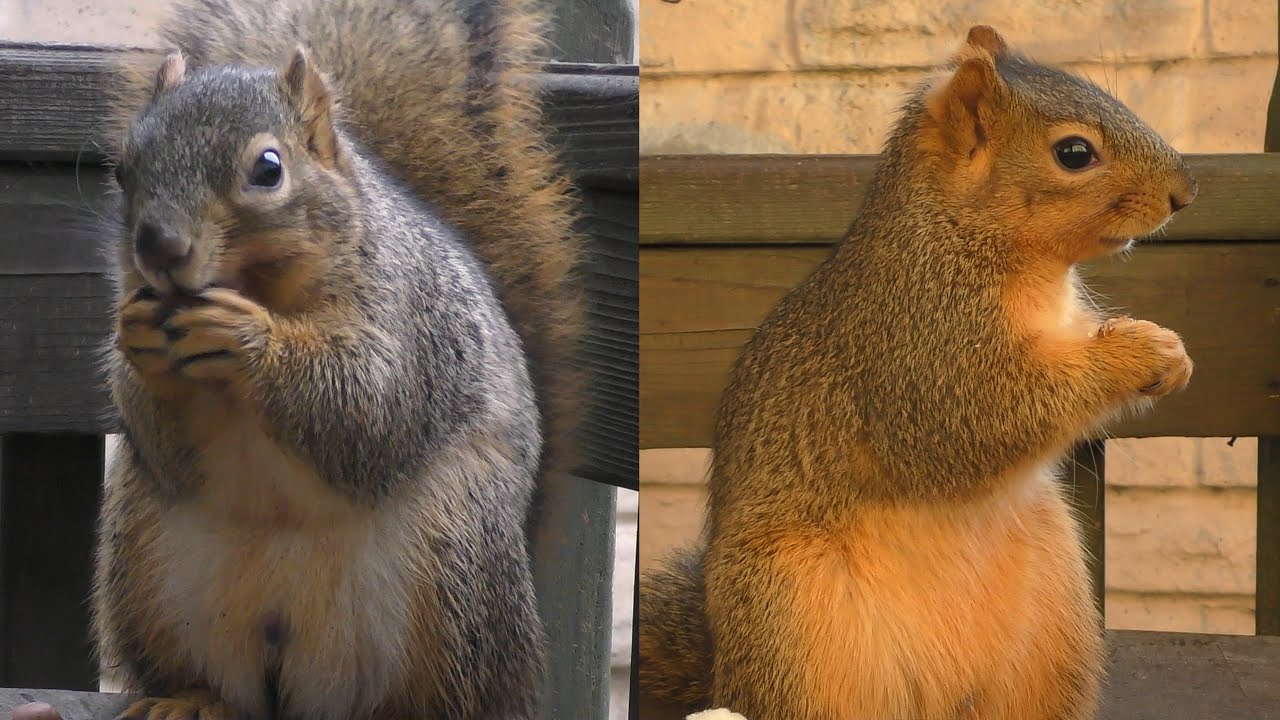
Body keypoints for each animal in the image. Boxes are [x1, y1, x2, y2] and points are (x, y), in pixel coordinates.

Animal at [92, 0, 583, 718]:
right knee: (212, 677)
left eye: (268, 169)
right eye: (123, 170)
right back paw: (190, 698)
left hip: (454, 567)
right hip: (147, 569)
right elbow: (163, 444)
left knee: (441, 695)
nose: (158, 247)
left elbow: (371, 406)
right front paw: (141, 344)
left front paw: (250, 338)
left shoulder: (410, 320)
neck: (263, 287)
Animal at [640, 25, 1196, 720]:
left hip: (1053, 623)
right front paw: (1139, 356)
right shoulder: (920, 348)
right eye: (1074, 153)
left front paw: (1170, 351)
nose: (1186, 190)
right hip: (801, 630)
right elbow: (984, 416)